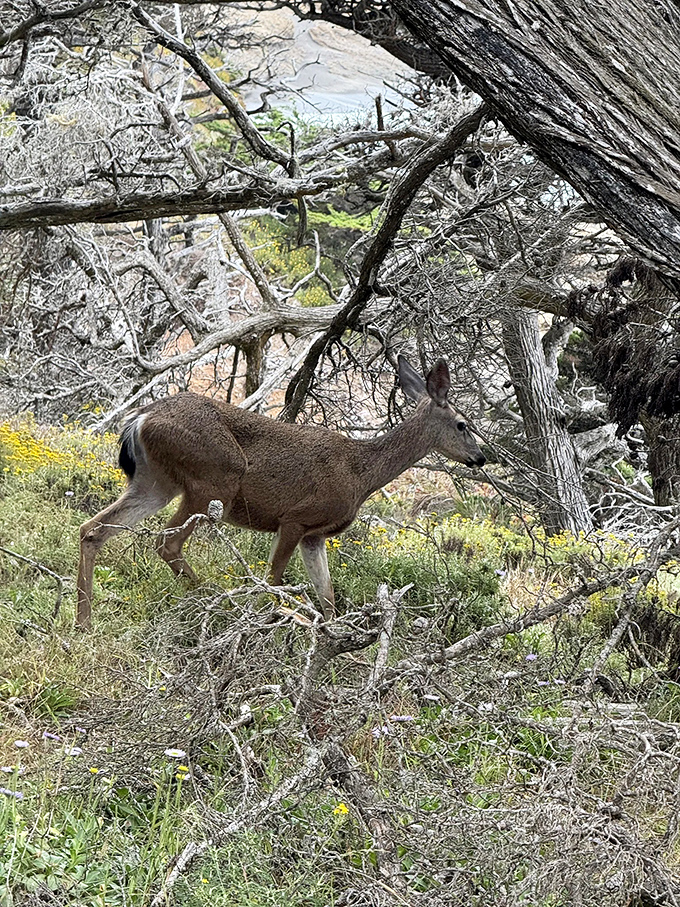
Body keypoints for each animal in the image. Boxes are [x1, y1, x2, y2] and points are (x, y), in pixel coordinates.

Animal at [76, 356, 485, 627]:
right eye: (463, 424)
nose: (480, 457)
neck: (360, 472)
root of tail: (139, 419)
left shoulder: (315, 535)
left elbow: (328, 597)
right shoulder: (295, 518)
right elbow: (273, 580)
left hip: (156, 482)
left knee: (93, 528)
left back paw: (84, 622)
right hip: (213, 480)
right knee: (166, 542)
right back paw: (213, 600)